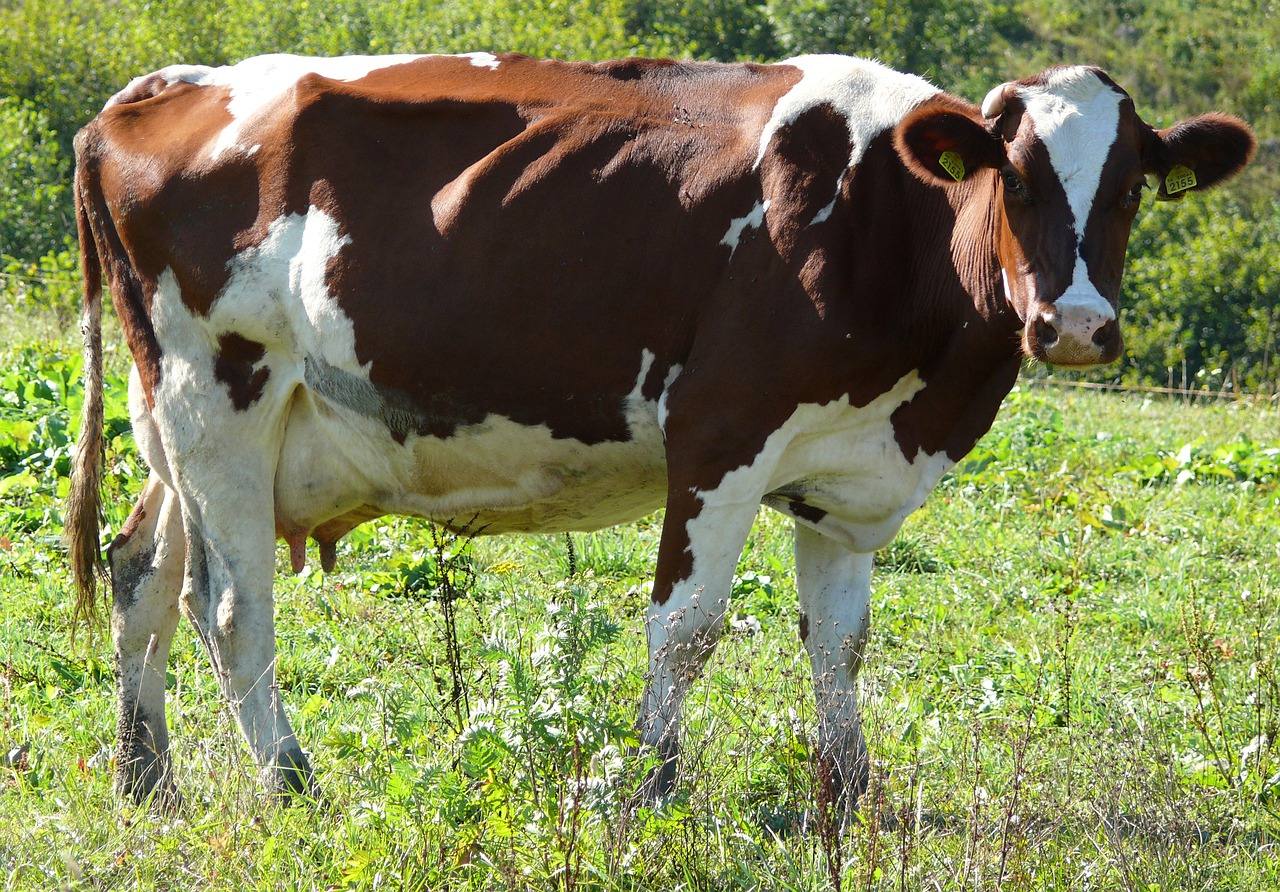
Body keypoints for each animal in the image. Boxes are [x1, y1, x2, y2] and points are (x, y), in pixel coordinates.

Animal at [68, 52, 1254, 815]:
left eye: (1133, 187)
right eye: (1012, 173)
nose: (1077, 325)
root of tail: (150, 92)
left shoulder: (846, 471)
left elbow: (840, 640)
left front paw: (847, 796)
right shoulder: (722, 435)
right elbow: (685, 630)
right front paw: (649, 788)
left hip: (176, 418)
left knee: (139, 570)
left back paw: (146, 779)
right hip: (218, 393)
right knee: (230, 605)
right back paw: (287, 783)